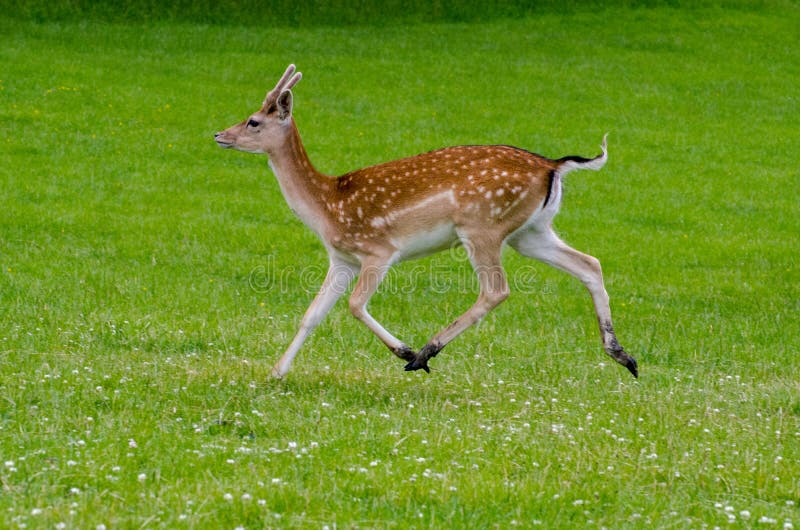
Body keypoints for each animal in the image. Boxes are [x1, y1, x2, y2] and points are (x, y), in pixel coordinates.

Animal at [215, 64, 638, 379]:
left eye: (253, 121)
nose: (219, 134)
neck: (328, 205)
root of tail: (553, 165)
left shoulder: (379, 249)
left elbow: (353, 305)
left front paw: (403, 351)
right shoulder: (342, 259)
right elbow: (311, 315)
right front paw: (275, 373)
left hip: (482, 225)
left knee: (496, 290)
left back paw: (424, 353)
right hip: (530, 232)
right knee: (589, 264)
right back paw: (623, 356)